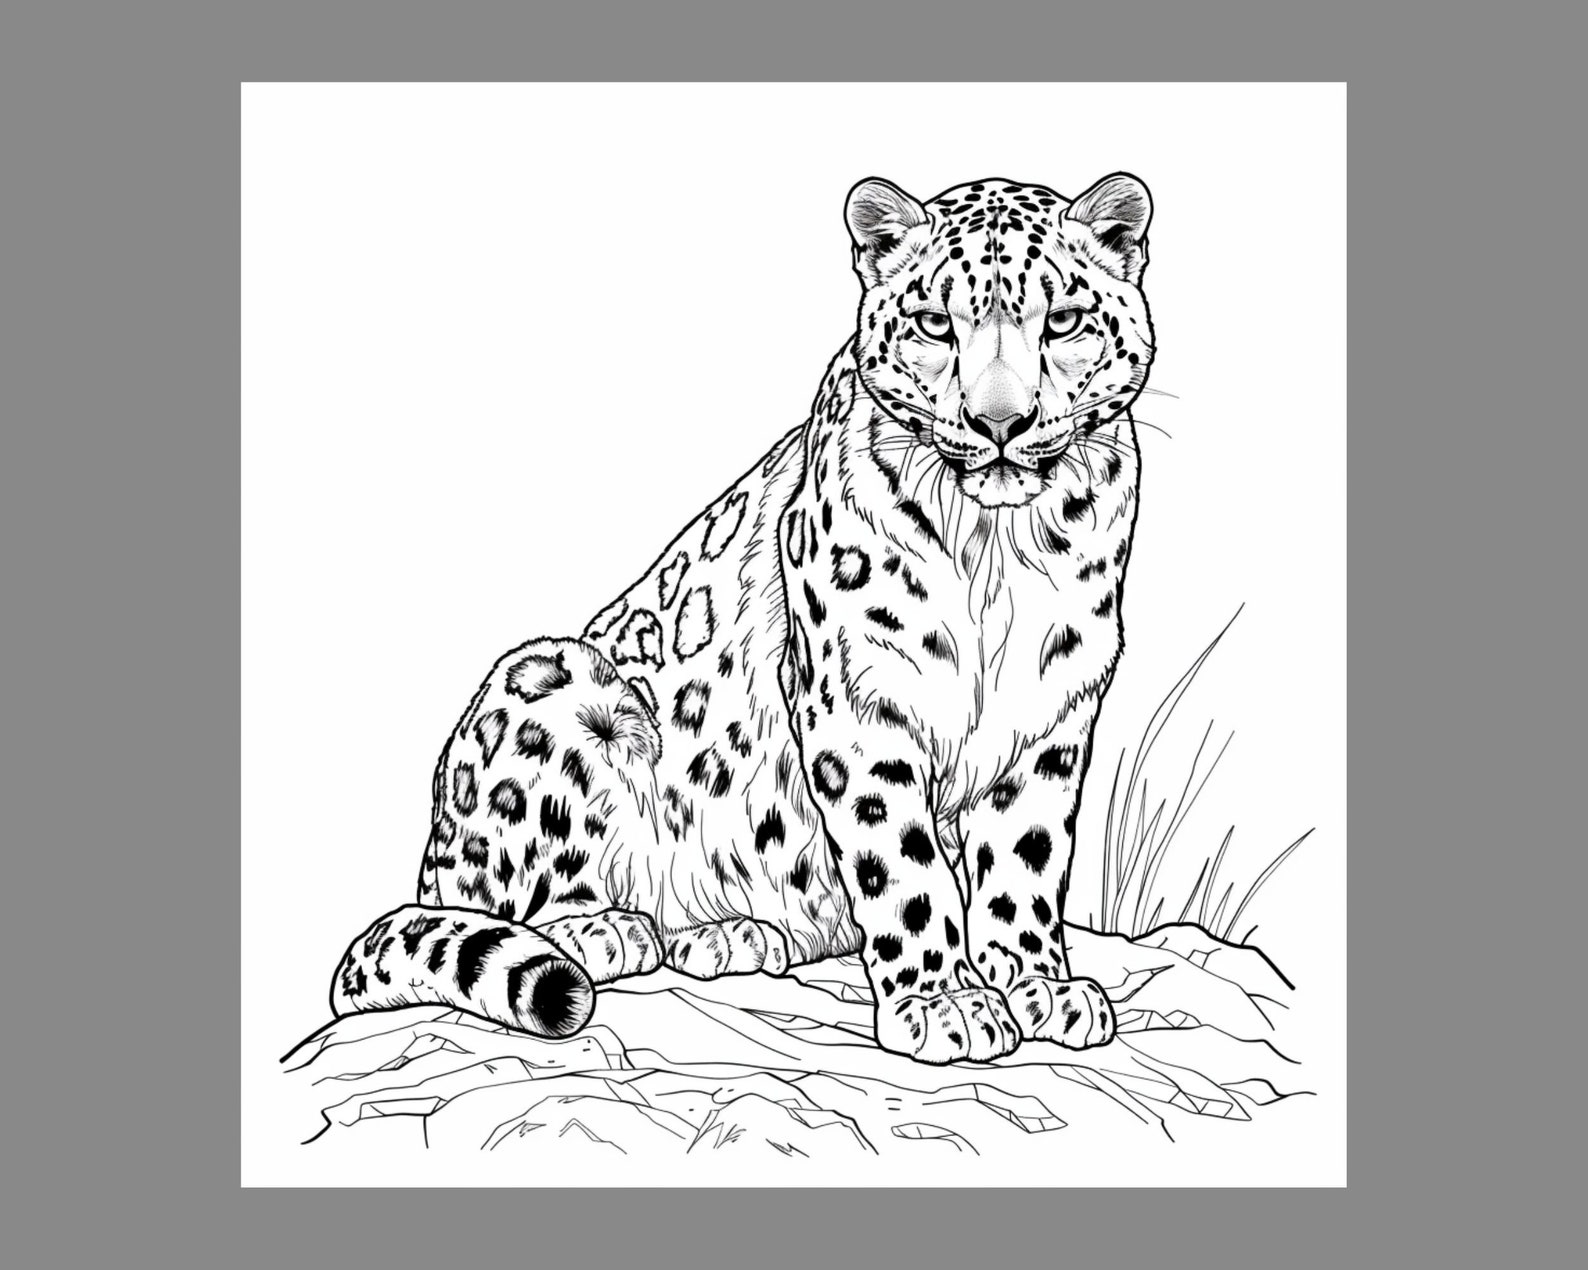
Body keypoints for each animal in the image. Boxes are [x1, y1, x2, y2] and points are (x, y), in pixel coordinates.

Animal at [331, 172, 1155, 1064]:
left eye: (1063, 320)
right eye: (936, 325)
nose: (999, 422)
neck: (999, 549)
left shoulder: (1049, 719)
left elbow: (1025, 860)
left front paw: (1040, 984)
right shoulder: (861, 707)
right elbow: (903, 865)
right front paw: (943, 1003)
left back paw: (730, 935)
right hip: (554, 682)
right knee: (495, 899)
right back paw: (608, 930)